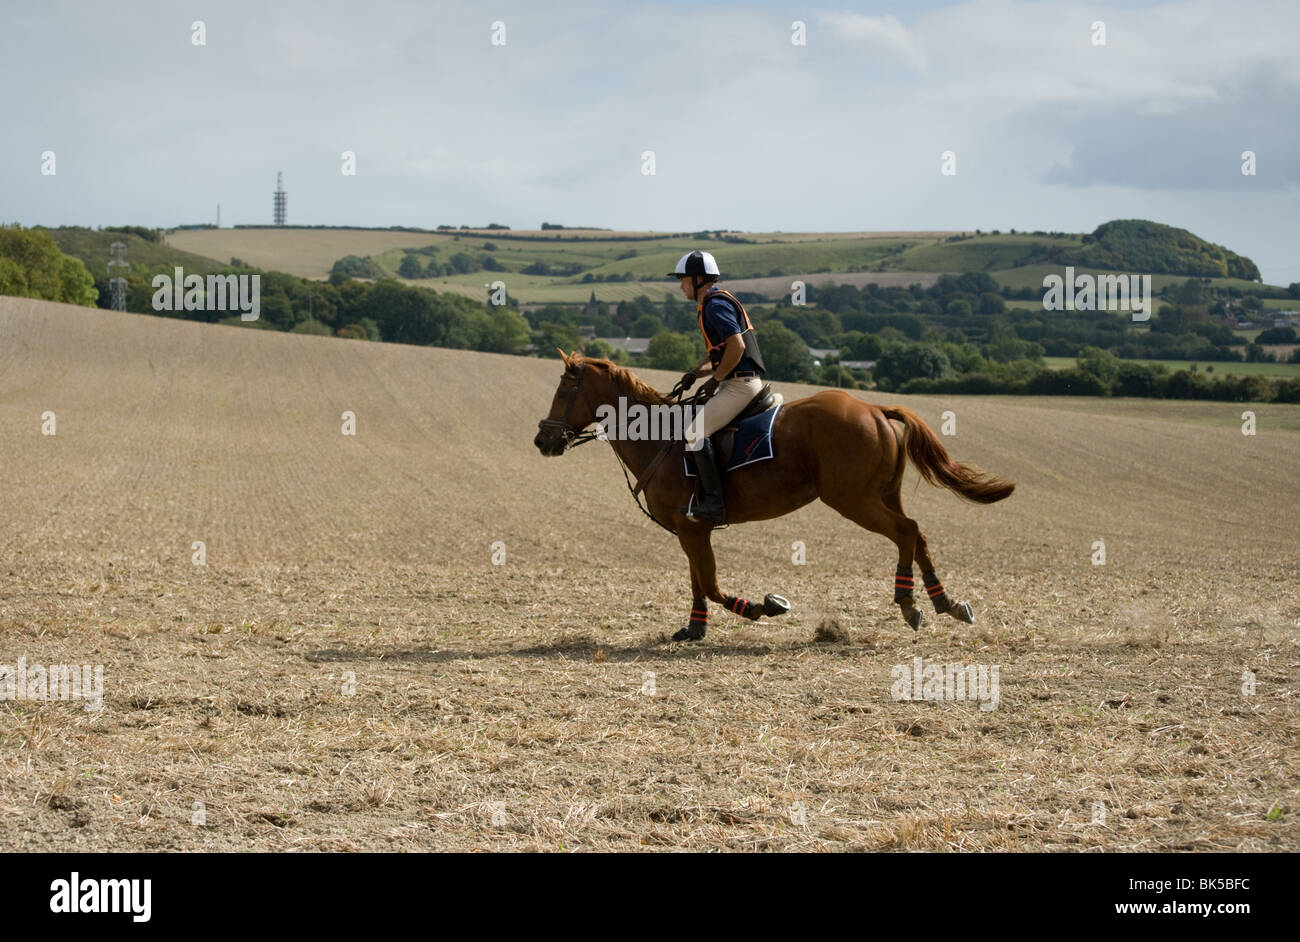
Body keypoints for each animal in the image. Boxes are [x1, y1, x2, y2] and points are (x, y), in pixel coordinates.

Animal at [534, 351, 1014, 641]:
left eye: (564, 391)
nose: (542, 441)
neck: (658, 438)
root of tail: (876, 409)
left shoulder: (692, 527)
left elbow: (712, 584)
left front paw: (764, 606)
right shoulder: (690, 530)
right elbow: (697, 581)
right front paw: (694, 630)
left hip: (854, 500)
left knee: (906, 532)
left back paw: (910, 603)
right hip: (883, 494)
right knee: (918, 534)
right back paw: (945, 602)